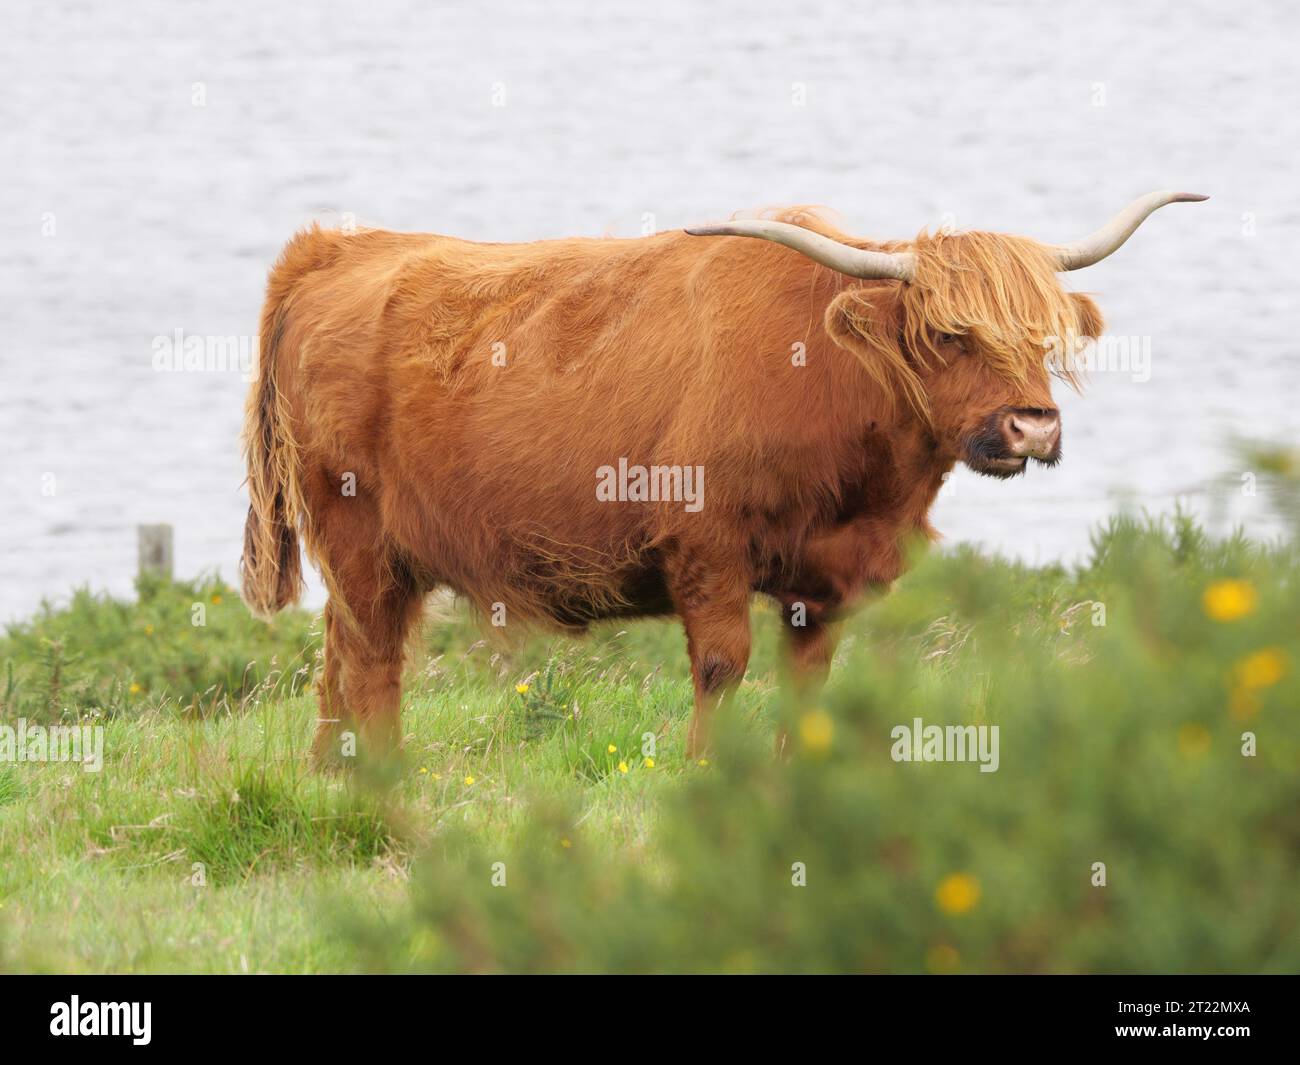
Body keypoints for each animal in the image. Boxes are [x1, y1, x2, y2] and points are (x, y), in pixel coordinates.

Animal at [239, 190, 1205, 763]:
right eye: (947, 334)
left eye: (1045, 336)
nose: (1032, 425)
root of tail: (335, 249)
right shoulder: (704, 543)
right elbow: (722, 664)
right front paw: (705, 771)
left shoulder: (828, 574)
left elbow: (808, 674)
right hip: (358, 537)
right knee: (373, 662)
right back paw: (384, 787)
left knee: (340, 654)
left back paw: (333, 780)